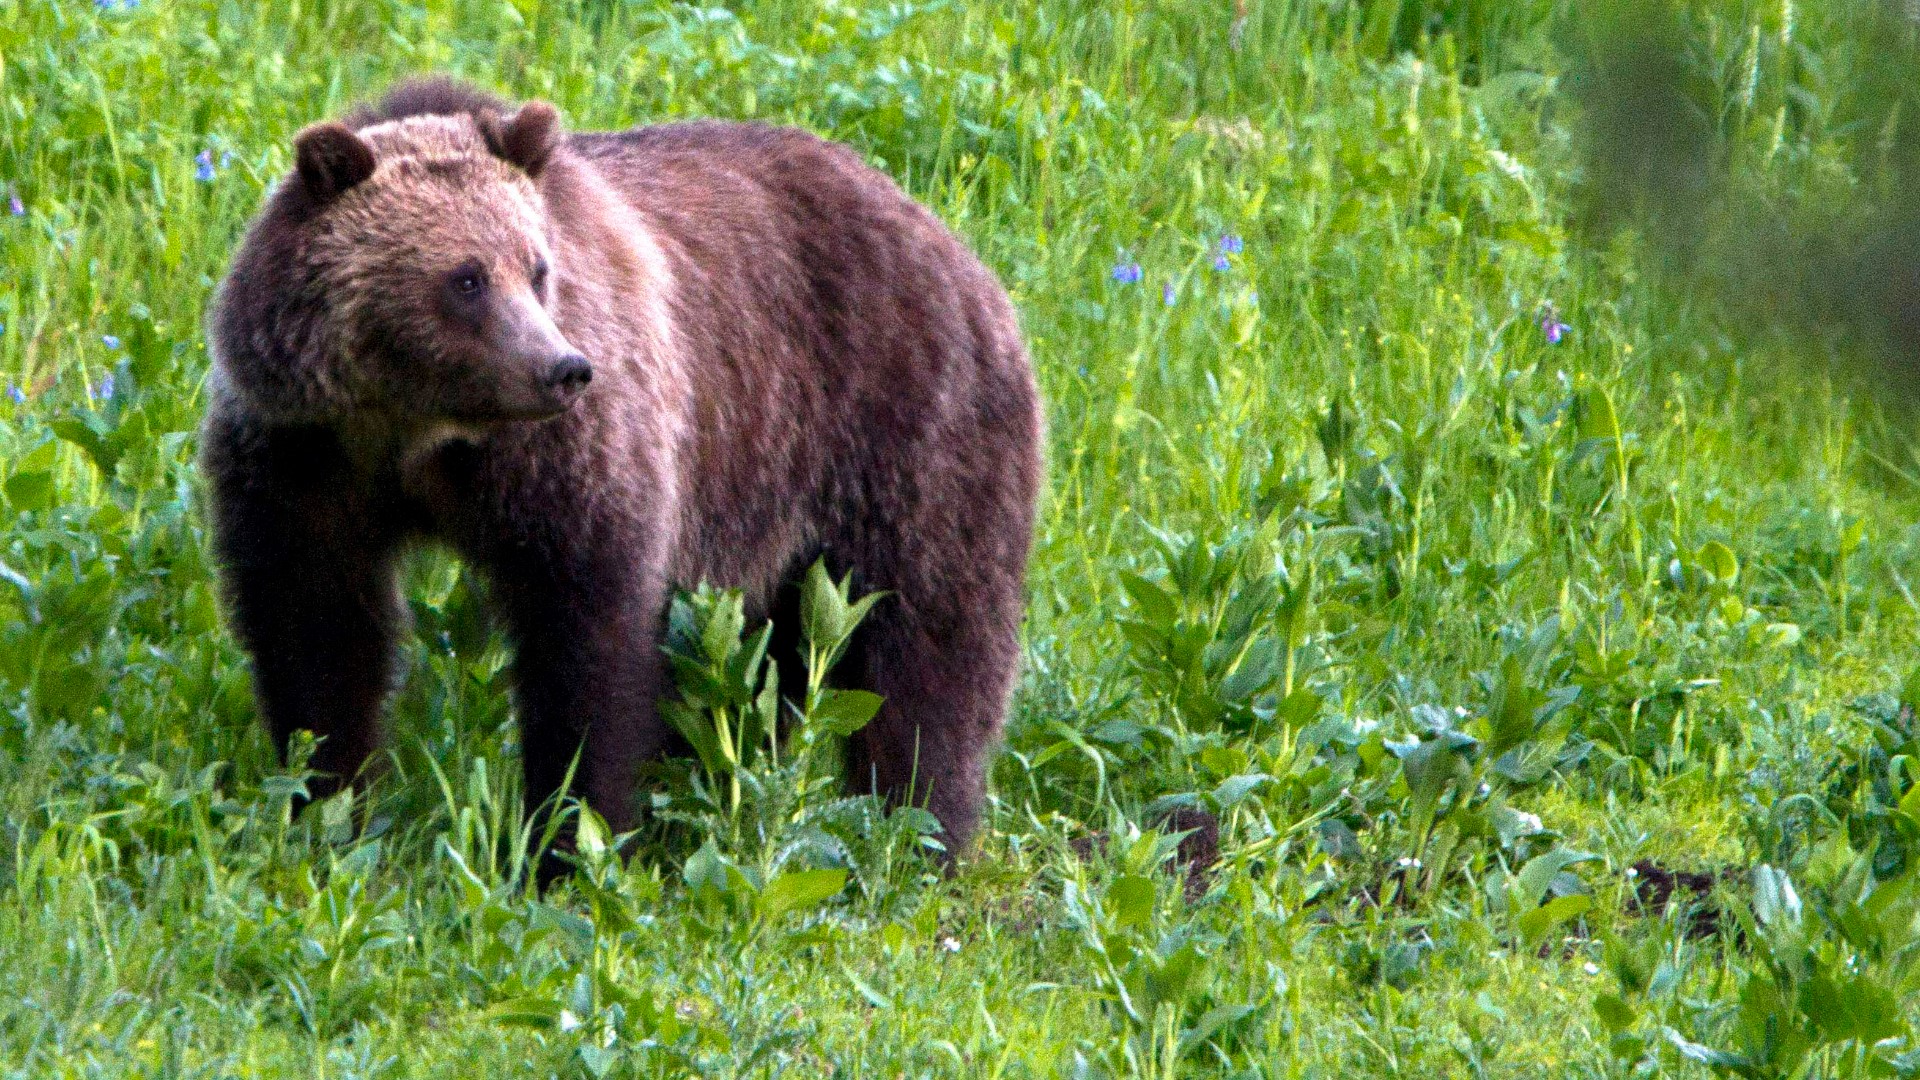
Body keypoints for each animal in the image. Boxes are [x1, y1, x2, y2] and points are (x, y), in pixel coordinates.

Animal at [202, 78, 1042, 873]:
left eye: (537, 268)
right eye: (466, 279)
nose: (562, 369)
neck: (418, 431)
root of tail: (952, 241)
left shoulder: (567, 462)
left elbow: (588, 640)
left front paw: (571, 839)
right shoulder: (304, 457)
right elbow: (316, 629)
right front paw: (326, 805)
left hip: (905, 430)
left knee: (929, 643)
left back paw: (920, 830)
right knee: (767, 665)